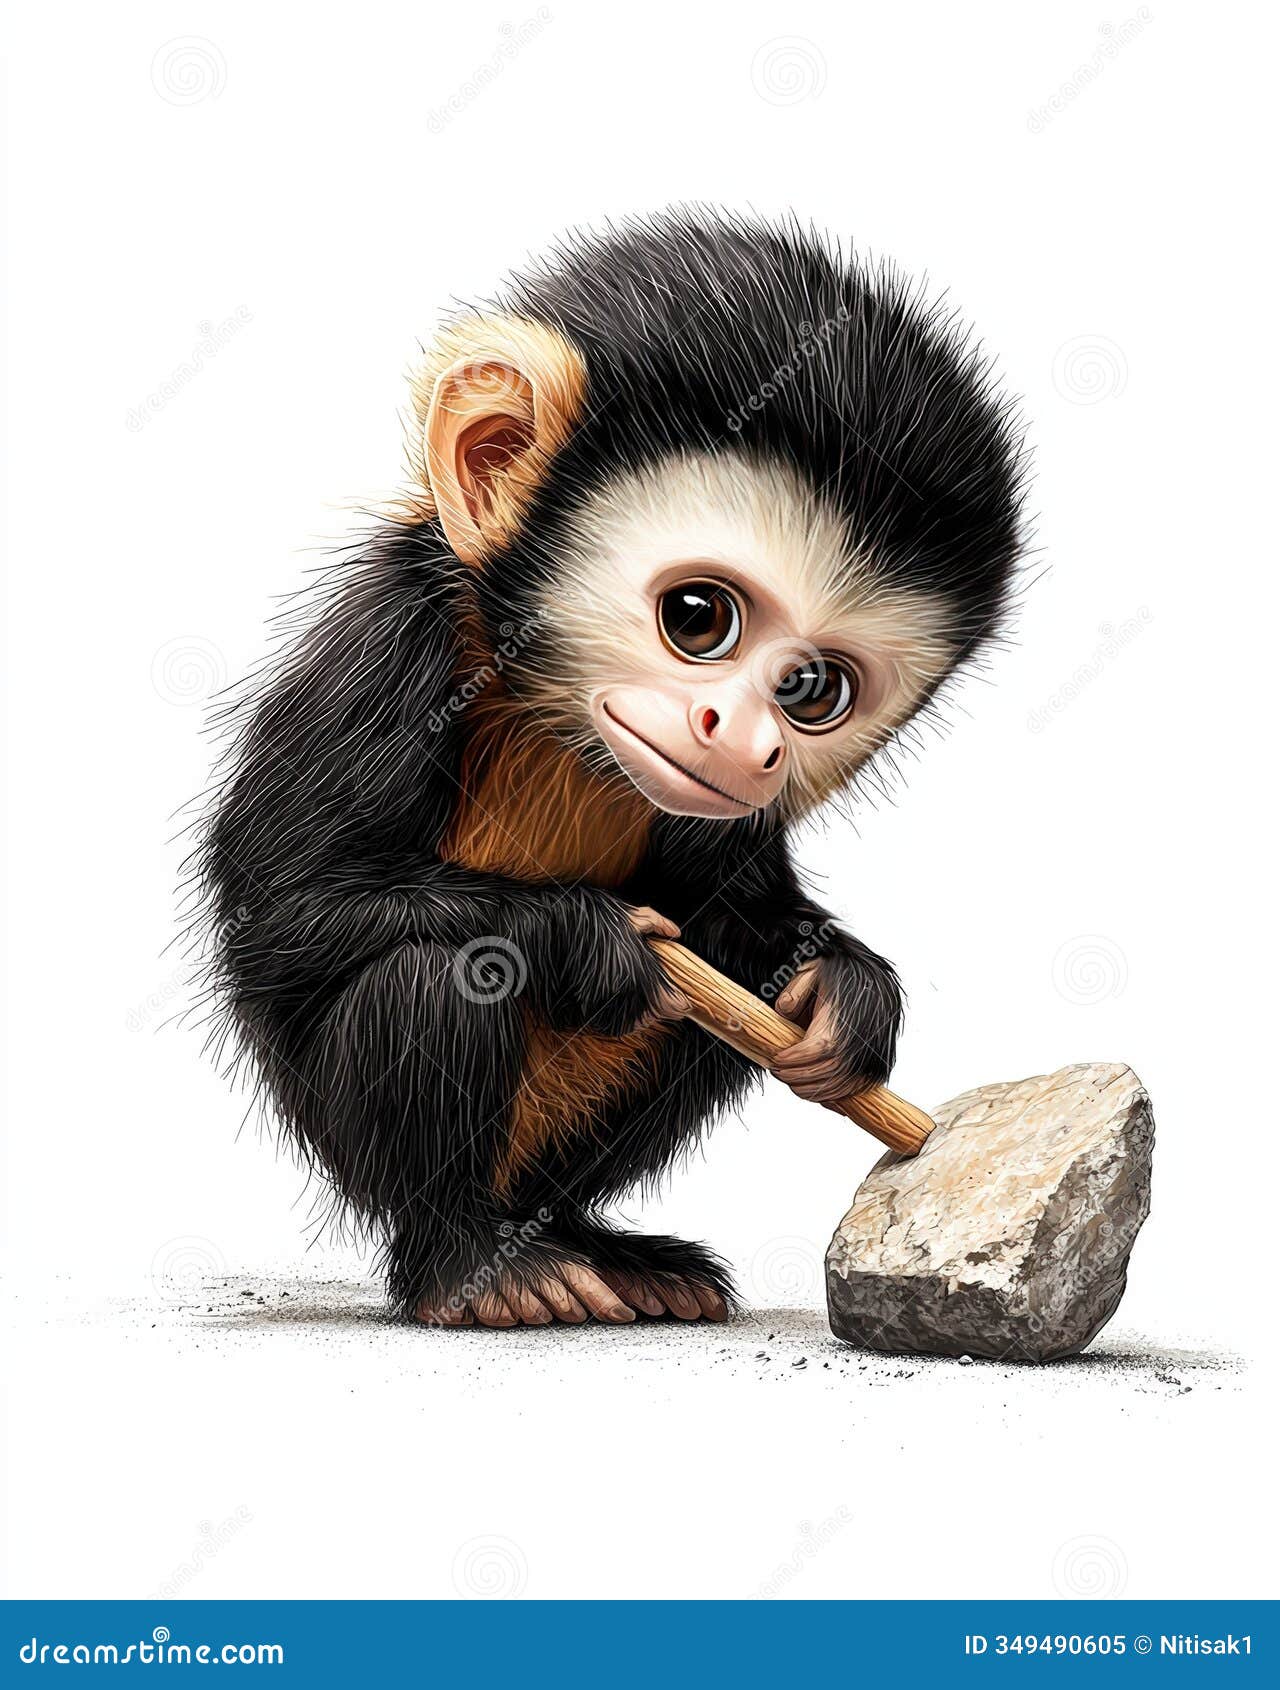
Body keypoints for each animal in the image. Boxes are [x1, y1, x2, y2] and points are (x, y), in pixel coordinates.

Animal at [194, 209, 1026, 1329]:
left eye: (812, 689)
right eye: (697, 617)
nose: (747, 743)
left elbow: (737, 925)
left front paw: (846, 988)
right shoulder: (391, 638)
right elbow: (281, 908)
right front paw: (584, 935)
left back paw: (585, 1239)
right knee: (438, 976)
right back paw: (467, 1260)